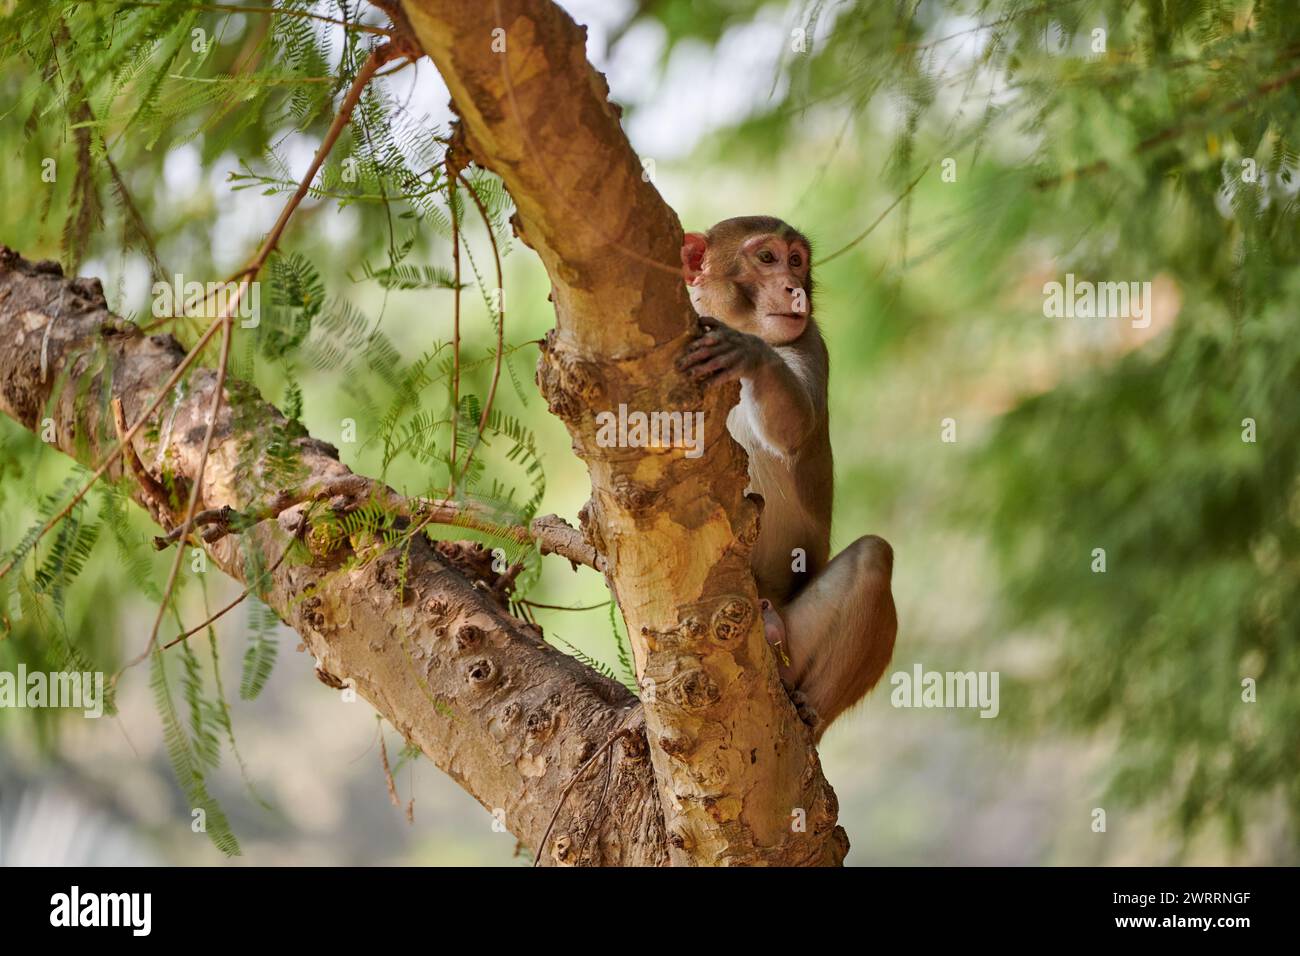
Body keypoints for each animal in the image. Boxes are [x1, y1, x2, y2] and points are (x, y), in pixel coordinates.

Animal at [675, 215, 897, 740]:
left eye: (797, 261)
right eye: (767, 257)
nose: (793, 287)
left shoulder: (809, 340)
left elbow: (794, 429)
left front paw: (749, 354)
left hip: (792, 648)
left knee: (874, 558)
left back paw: (810, 711)